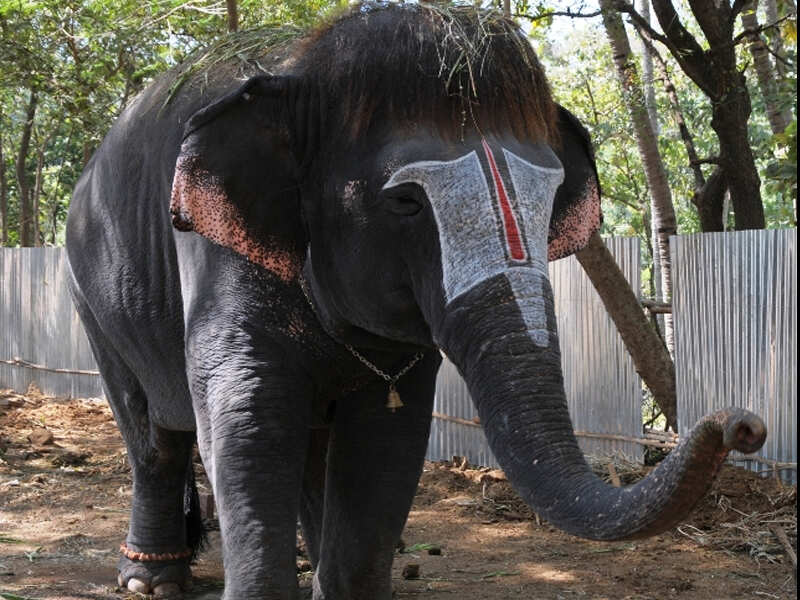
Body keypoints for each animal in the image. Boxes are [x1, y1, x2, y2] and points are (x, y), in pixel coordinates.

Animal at [65, 3, 766, 599]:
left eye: (550, 202)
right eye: (405, 202)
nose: (744, 426)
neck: (307, 65)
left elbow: (387, 435)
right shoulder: (213, 253)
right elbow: (250, 415)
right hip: (90, 290)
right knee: (151, 432)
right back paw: (150, 582)